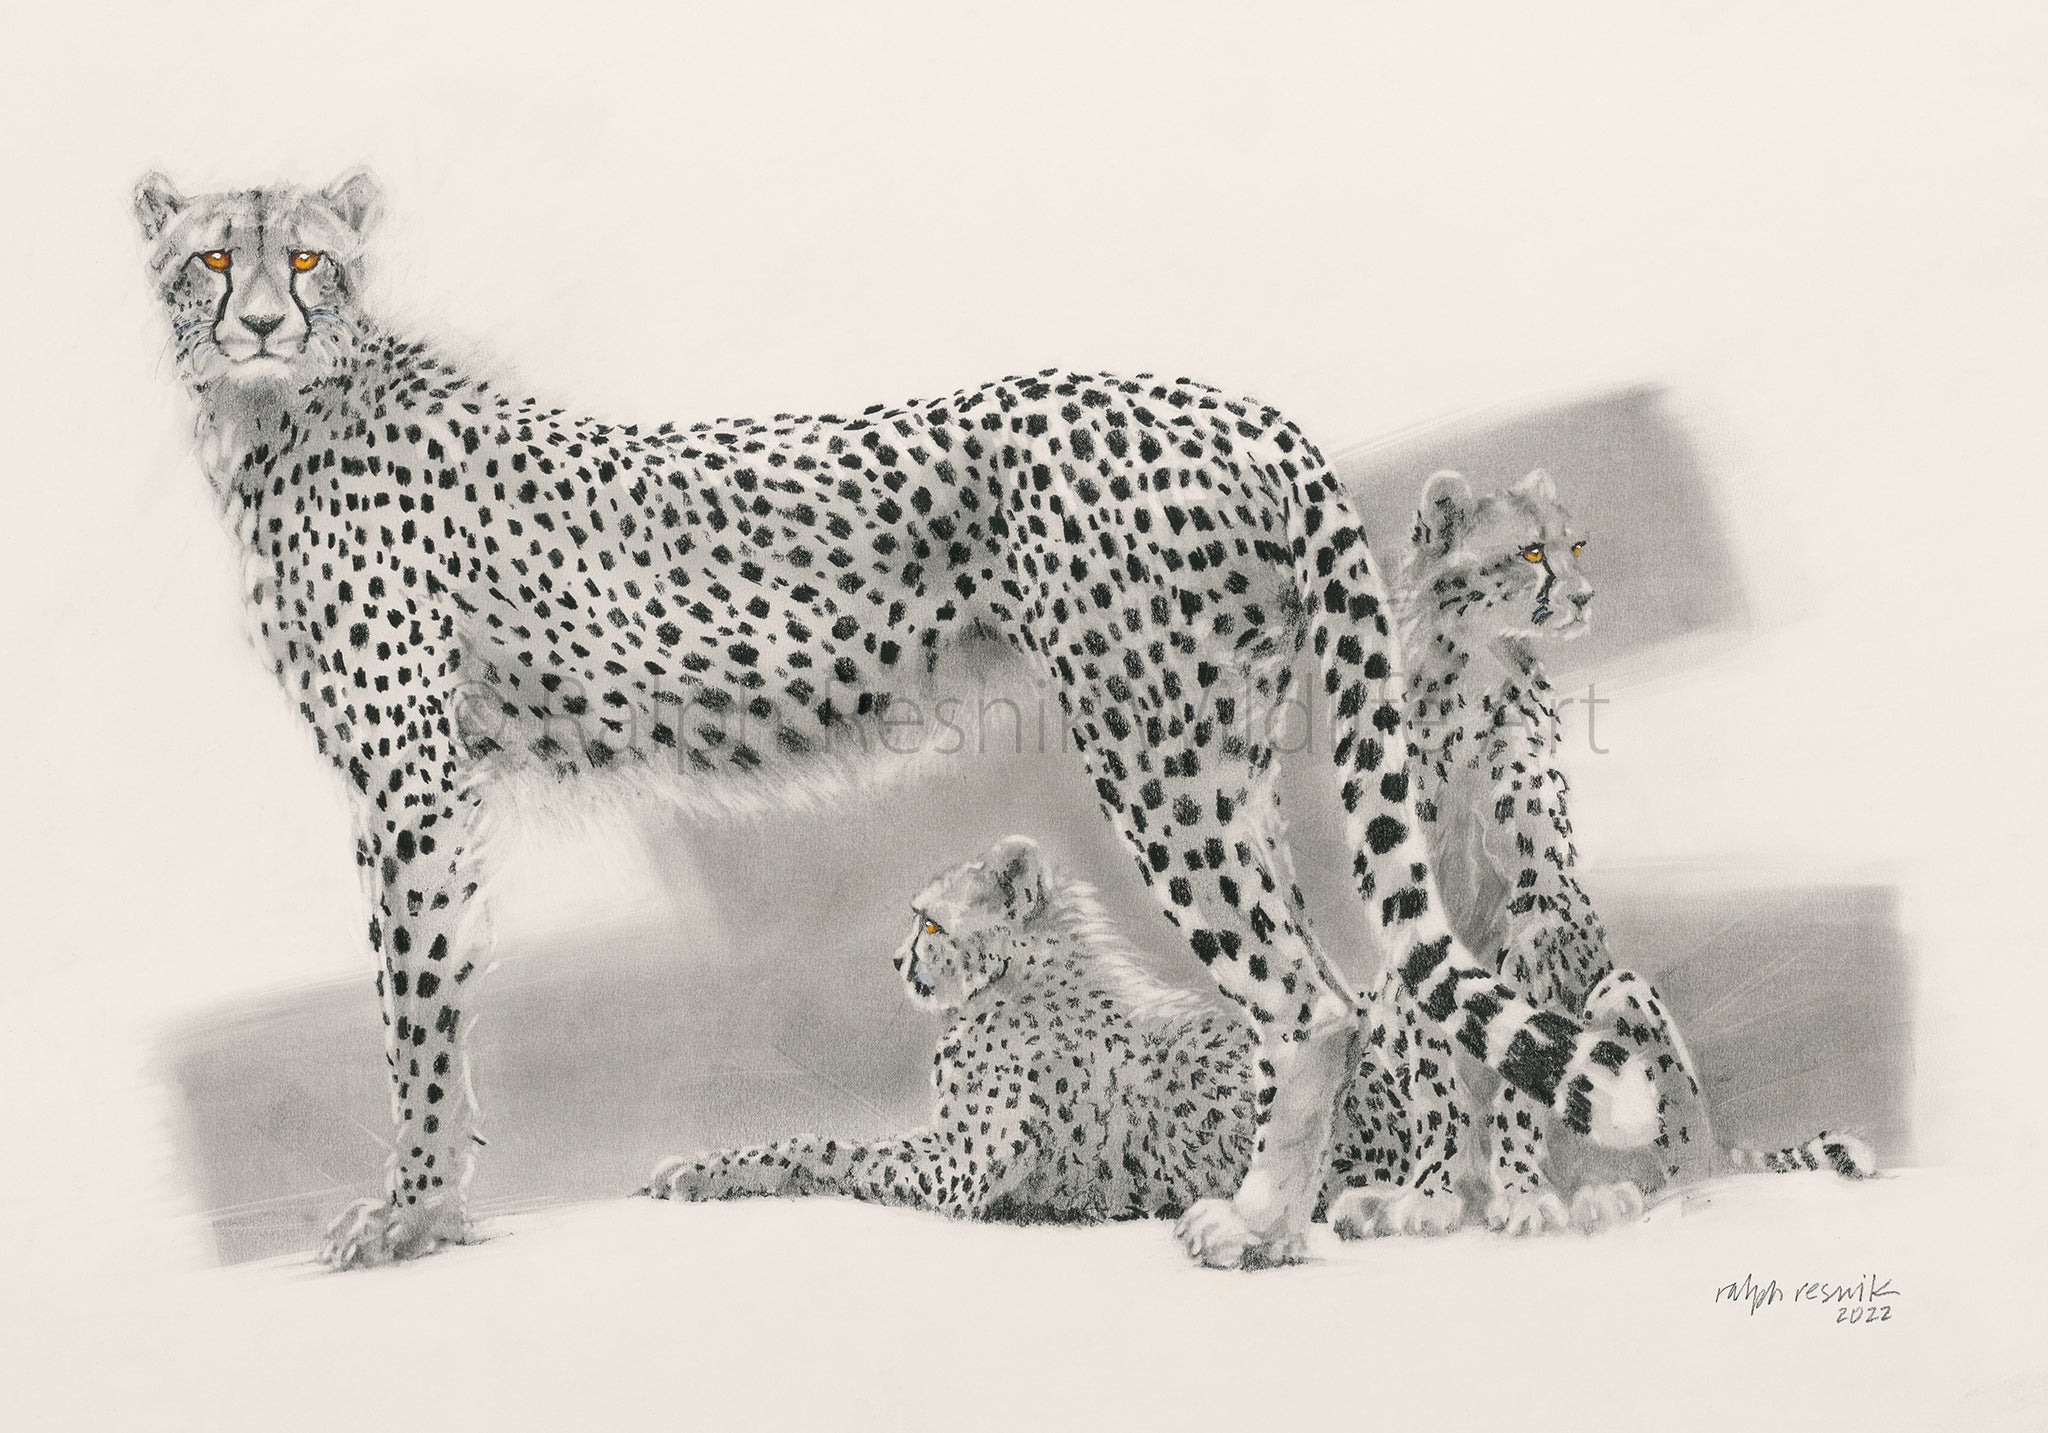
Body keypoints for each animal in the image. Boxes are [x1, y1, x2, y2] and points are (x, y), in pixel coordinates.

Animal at [644, 834, 1467, 1243]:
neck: (1019, 975)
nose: (895, 960)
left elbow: (822, 1144)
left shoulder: (957, 1171)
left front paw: (700, 1169)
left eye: (931, 924)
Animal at [1392, 467, 1876, 1236]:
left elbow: (1522, 1065)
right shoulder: (1409, 916)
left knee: (1674, 1166)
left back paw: (1600, 1190)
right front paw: (1433, 1188)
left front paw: (1523, 1190)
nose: (1586, 596)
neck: (1468, 675)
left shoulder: (1542, 905)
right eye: (1532, 552)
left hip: (1622, 999)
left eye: (1575, 545)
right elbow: (1436, 1072)